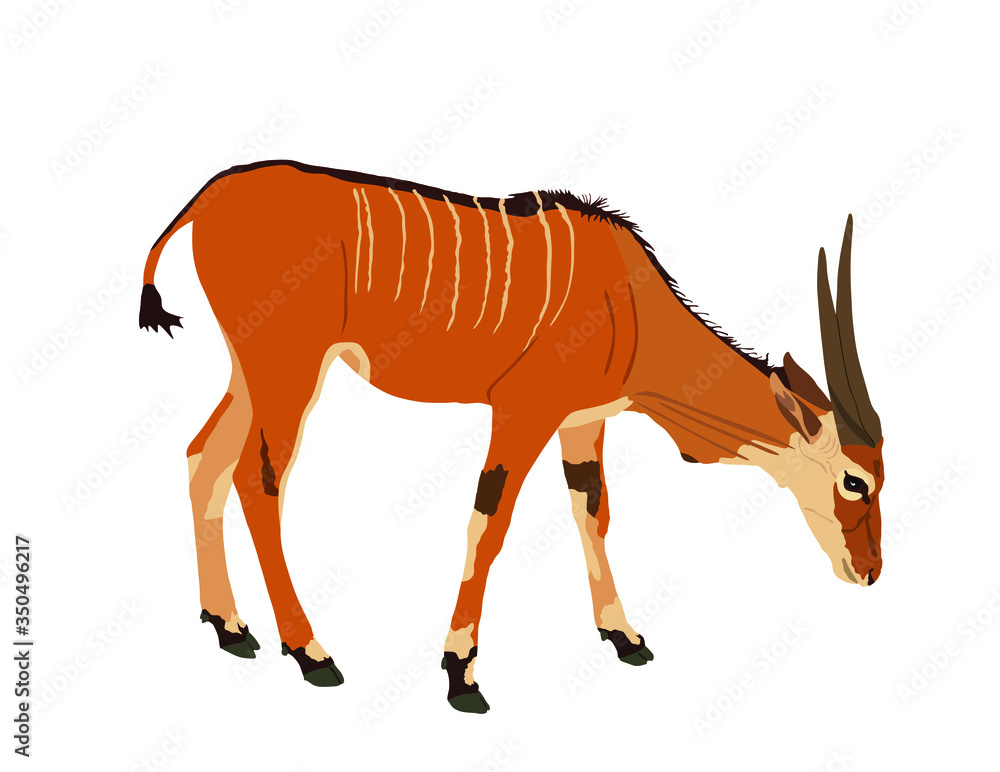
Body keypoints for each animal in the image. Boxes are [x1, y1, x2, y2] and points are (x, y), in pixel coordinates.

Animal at [139, 160, 884, 714]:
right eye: (856, 480)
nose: (870, 572)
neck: (628, 299)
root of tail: (206, 199)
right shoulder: (524, 413)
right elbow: (489, 522)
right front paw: (459, 673)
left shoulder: (583, 421)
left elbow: (593, 510)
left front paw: (624, 636)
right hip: (288, 373)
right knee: (258, 477)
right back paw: (310, 653)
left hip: (252, 374)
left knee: (204, 457)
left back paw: (230, 628)